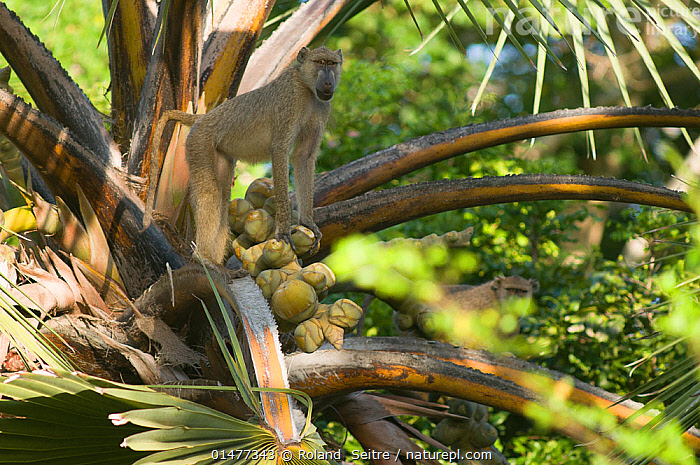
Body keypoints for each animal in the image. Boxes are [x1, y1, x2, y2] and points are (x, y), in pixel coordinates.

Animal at [143, 46, 343, 265]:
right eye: (320, 62)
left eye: (332, 63)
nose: (328, 82)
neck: (307, 89)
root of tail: (203, 117)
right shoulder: (292, 99)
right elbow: (280, 150)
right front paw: (283, 230)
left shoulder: (321, 107)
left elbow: (304, 157)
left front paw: (308, 223)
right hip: (199, 142)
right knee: (211, 193)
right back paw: (203, 258)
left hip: (216, 152)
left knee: (222, 199)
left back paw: (215, 263)